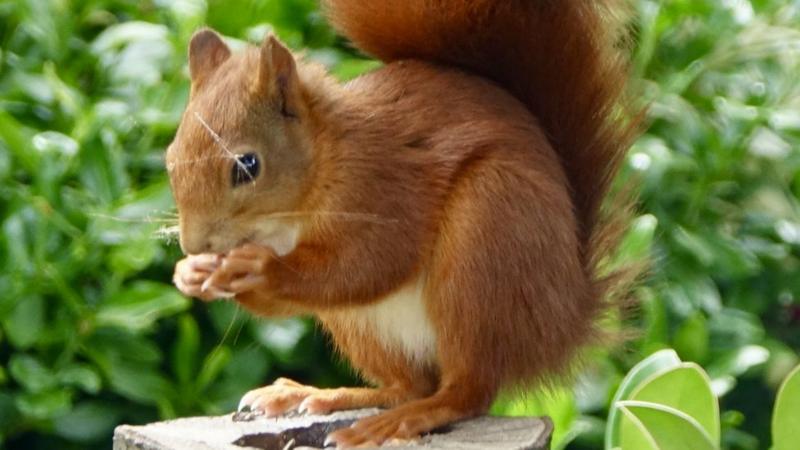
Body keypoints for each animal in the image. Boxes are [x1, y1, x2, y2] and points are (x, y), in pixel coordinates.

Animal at [168, 0, 640, 447]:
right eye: (171, 158)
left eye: (247, 166)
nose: (194, 245)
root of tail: (566, 316)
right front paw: (190, 274)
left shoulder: (384, 188)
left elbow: (370, 263)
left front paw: (259, 269)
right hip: (362, 326)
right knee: (409, 385)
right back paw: (321, 395)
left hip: (485, 244)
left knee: (466, 391)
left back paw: (402, 420)